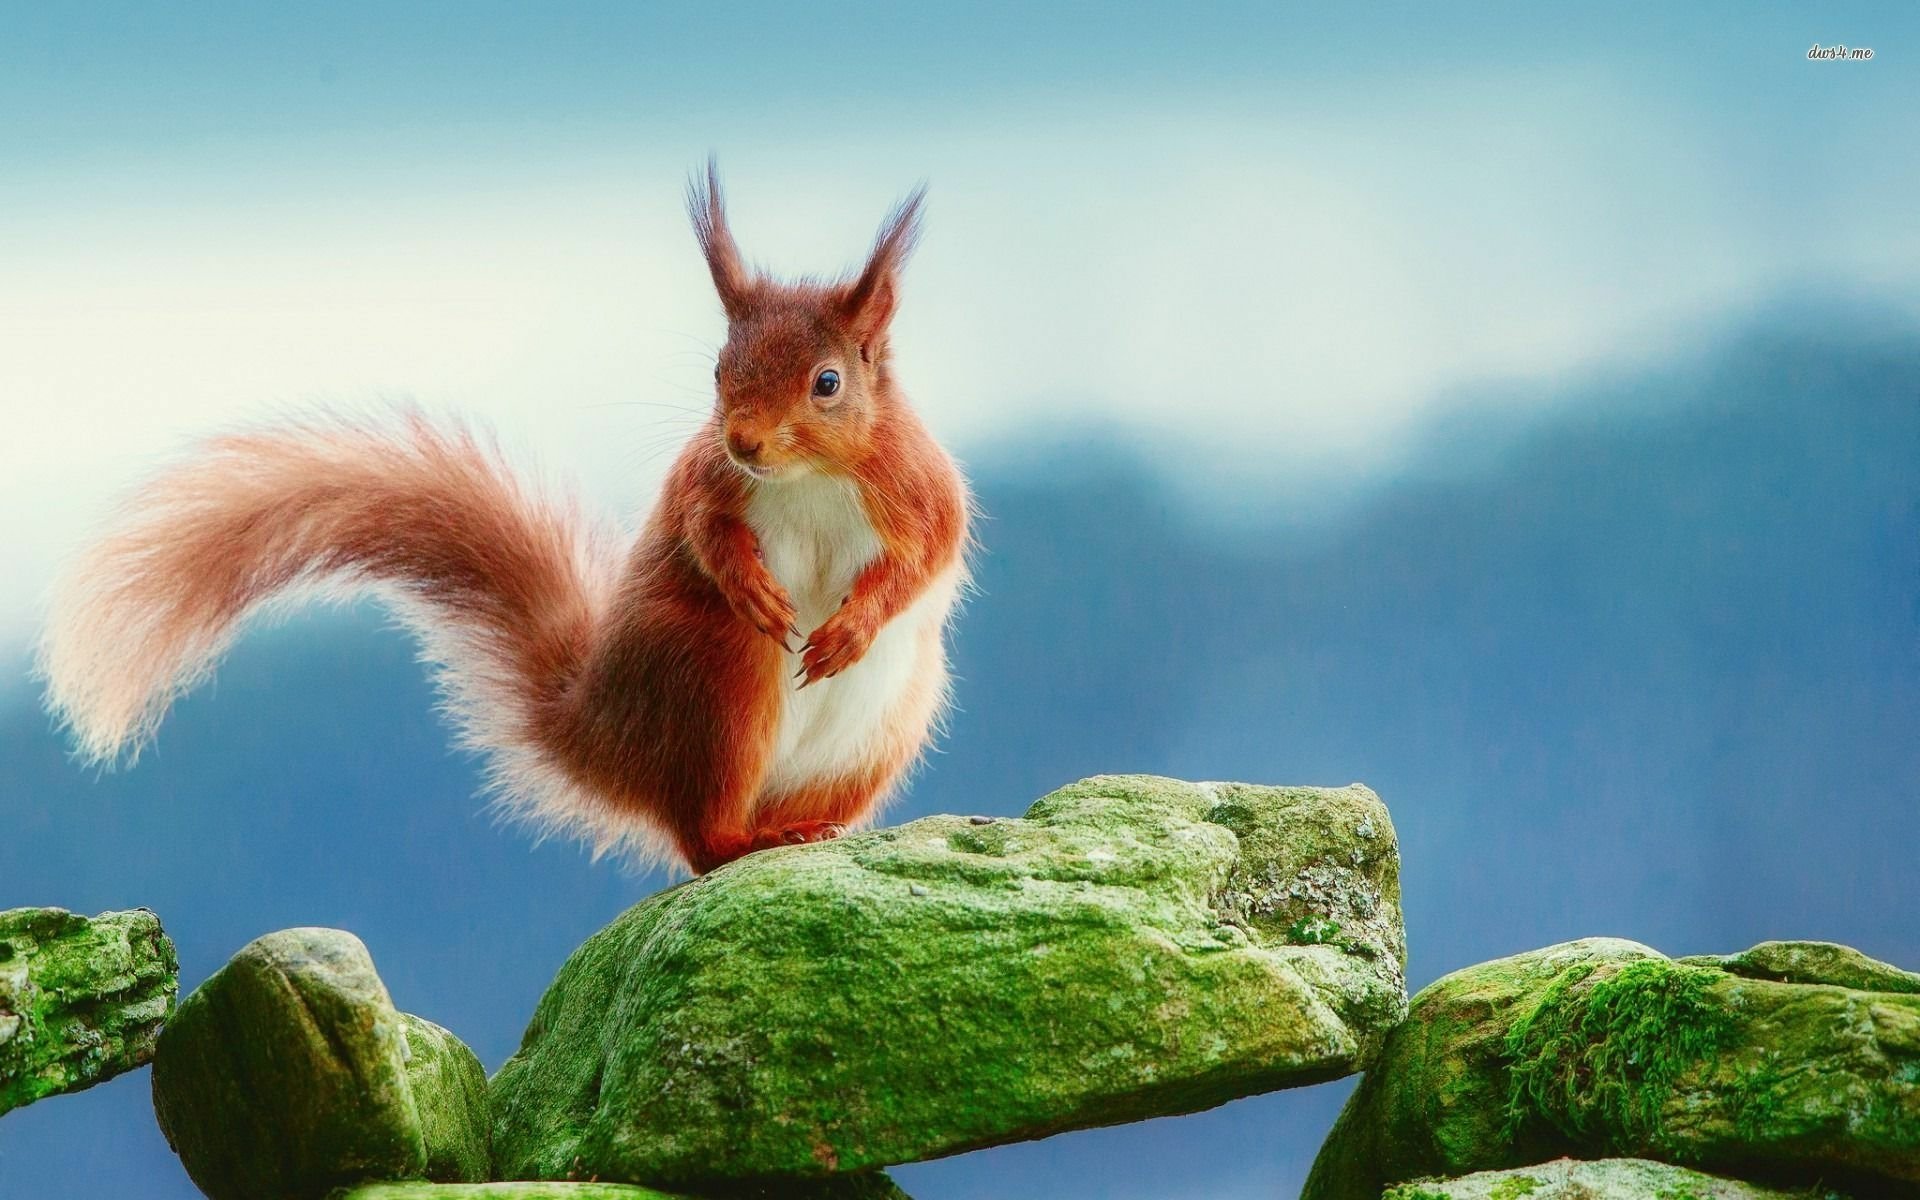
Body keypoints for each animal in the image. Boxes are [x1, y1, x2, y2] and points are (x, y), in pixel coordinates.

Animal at [35, 162, 971, 875]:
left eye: (827, 382)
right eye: (718, 369)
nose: (743, 440)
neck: (807, 476)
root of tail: (603, 734)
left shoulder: (916, 489)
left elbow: (927, 556)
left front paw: (851, 627)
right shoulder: (703, 483)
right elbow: (704, 536)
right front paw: (753, 587)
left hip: (884, 725)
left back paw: (807, 828)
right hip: (717, 681)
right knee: (700, 839)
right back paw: (749, 837)